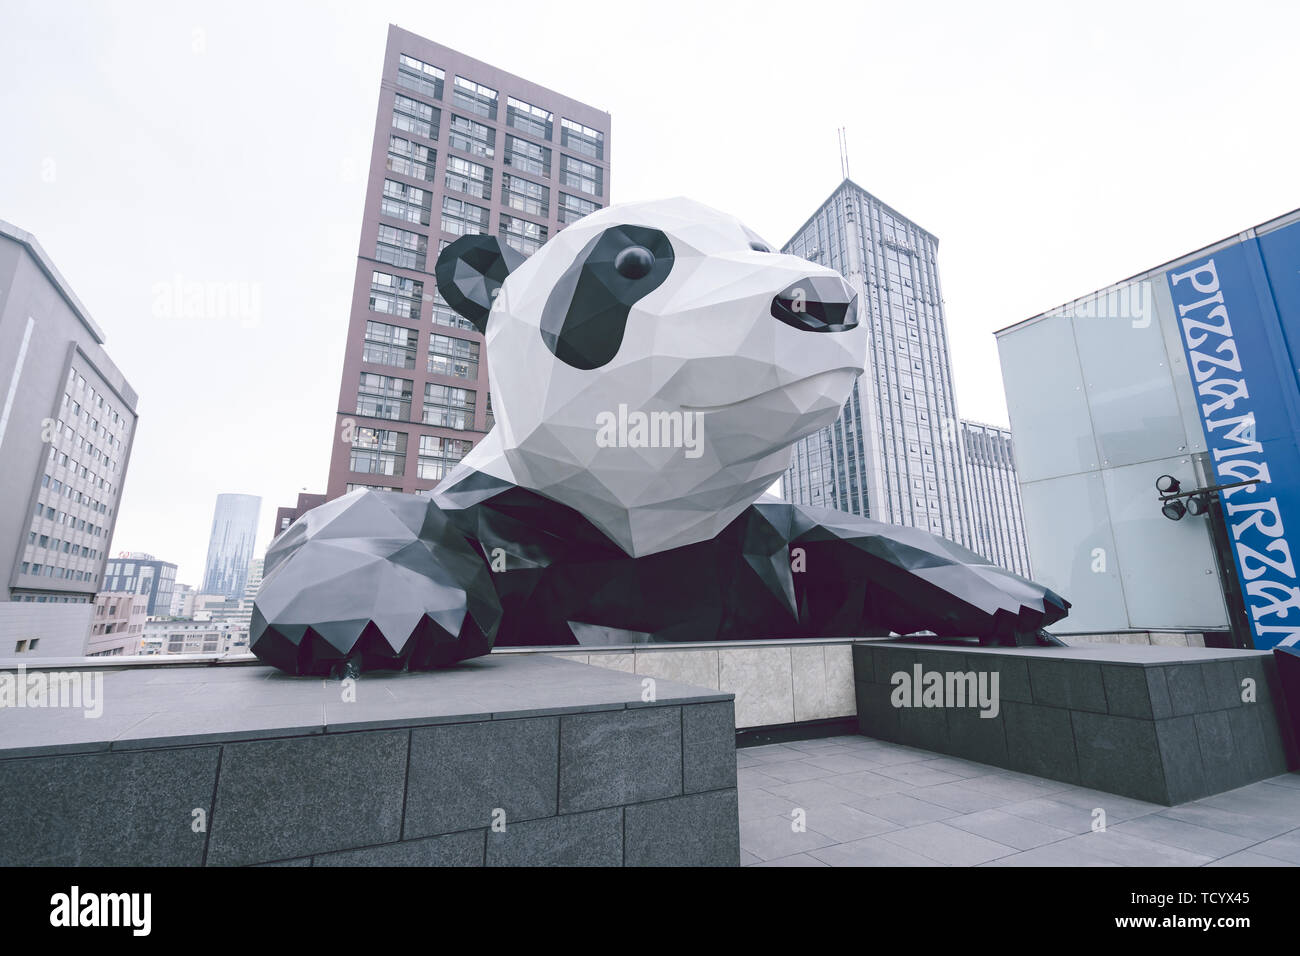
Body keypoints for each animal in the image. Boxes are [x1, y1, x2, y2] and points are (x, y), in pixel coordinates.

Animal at [251, 198, 1069, 675]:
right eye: (634, 261)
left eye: (762, 248)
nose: (824, 300)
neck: (646, 510)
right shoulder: (521, 508)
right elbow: (375, 514)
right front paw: (373, 610)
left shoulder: (745, 545)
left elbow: (857, 541)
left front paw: (1008, 597)